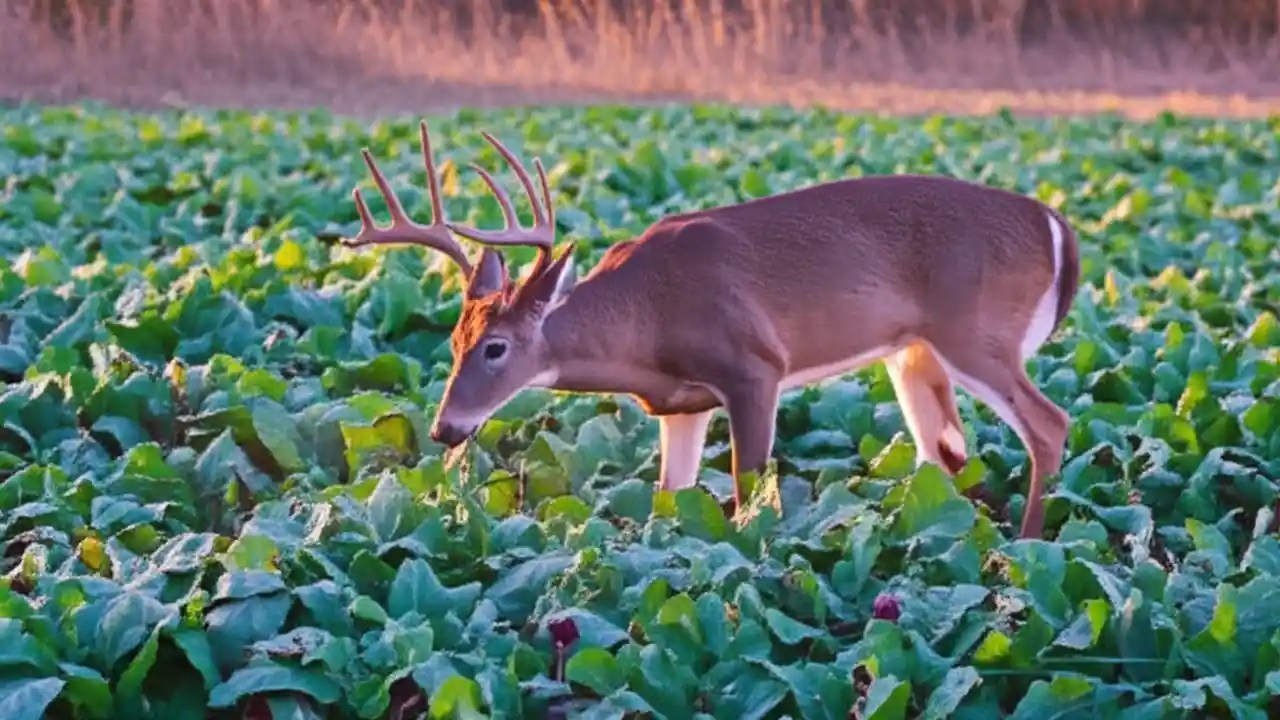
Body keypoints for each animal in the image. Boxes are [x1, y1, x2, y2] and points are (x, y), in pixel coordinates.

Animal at [341, 121, 1081, 540]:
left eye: (496, 347)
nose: (446, 430)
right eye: (453, 343)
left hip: (975, 332)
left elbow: (750, 487)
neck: (646, 323)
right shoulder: (681, 404)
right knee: (942, 452)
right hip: (913, 352)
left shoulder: (754, 365)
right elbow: (671, 496)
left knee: (1050, 424)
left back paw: (1026, 544)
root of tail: (1055, 224)